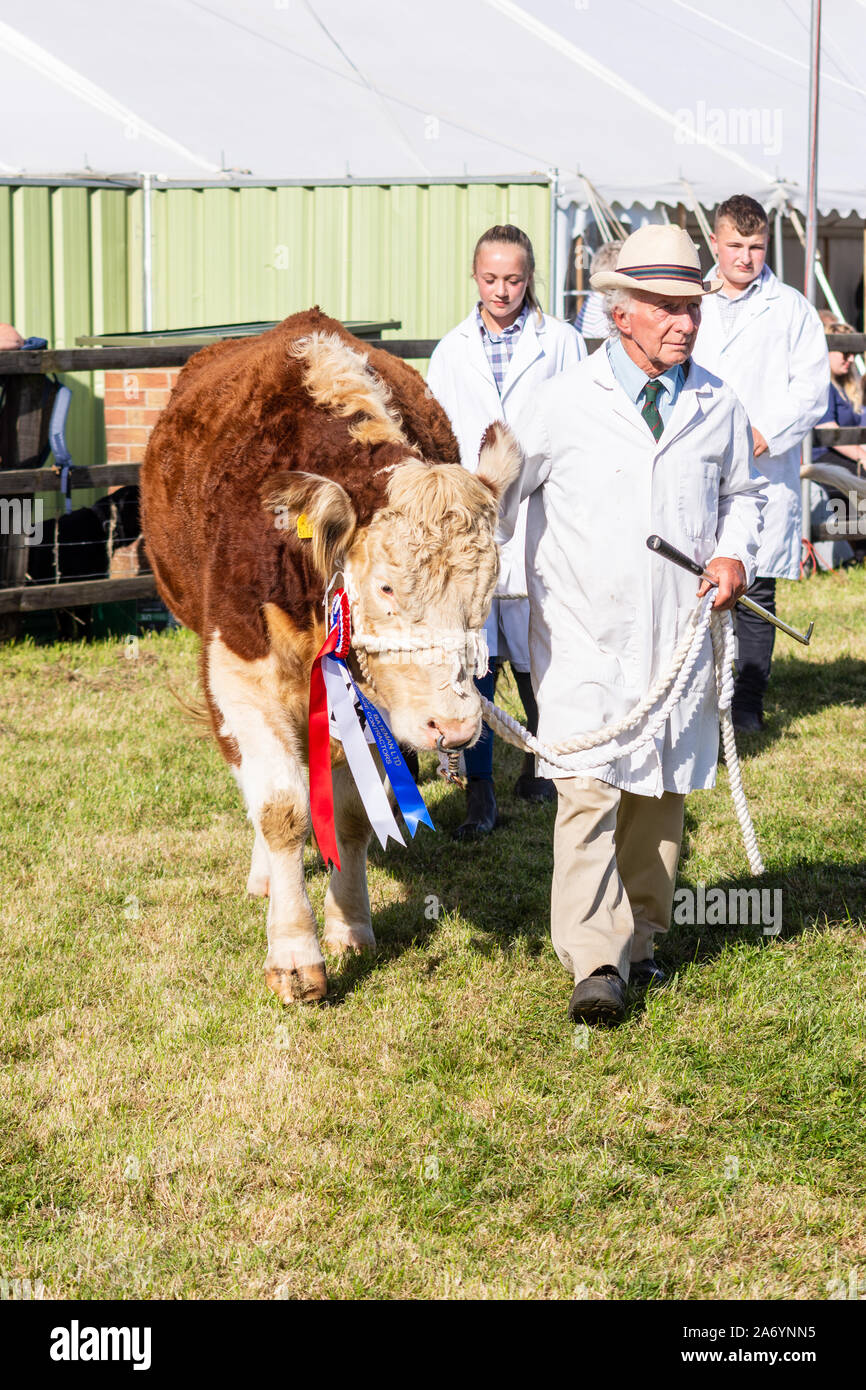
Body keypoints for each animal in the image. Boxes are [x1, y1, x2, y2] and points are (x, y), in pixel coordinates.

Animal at [141, 308, 520, 1005]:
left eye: (485, 592)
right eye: (387, 588)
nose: (454, 726)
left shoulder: (367, 702)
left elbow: (350, 815)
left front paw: (350, 927)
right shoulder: (237, 674)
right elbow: (281, 809)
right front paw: (294, 954)